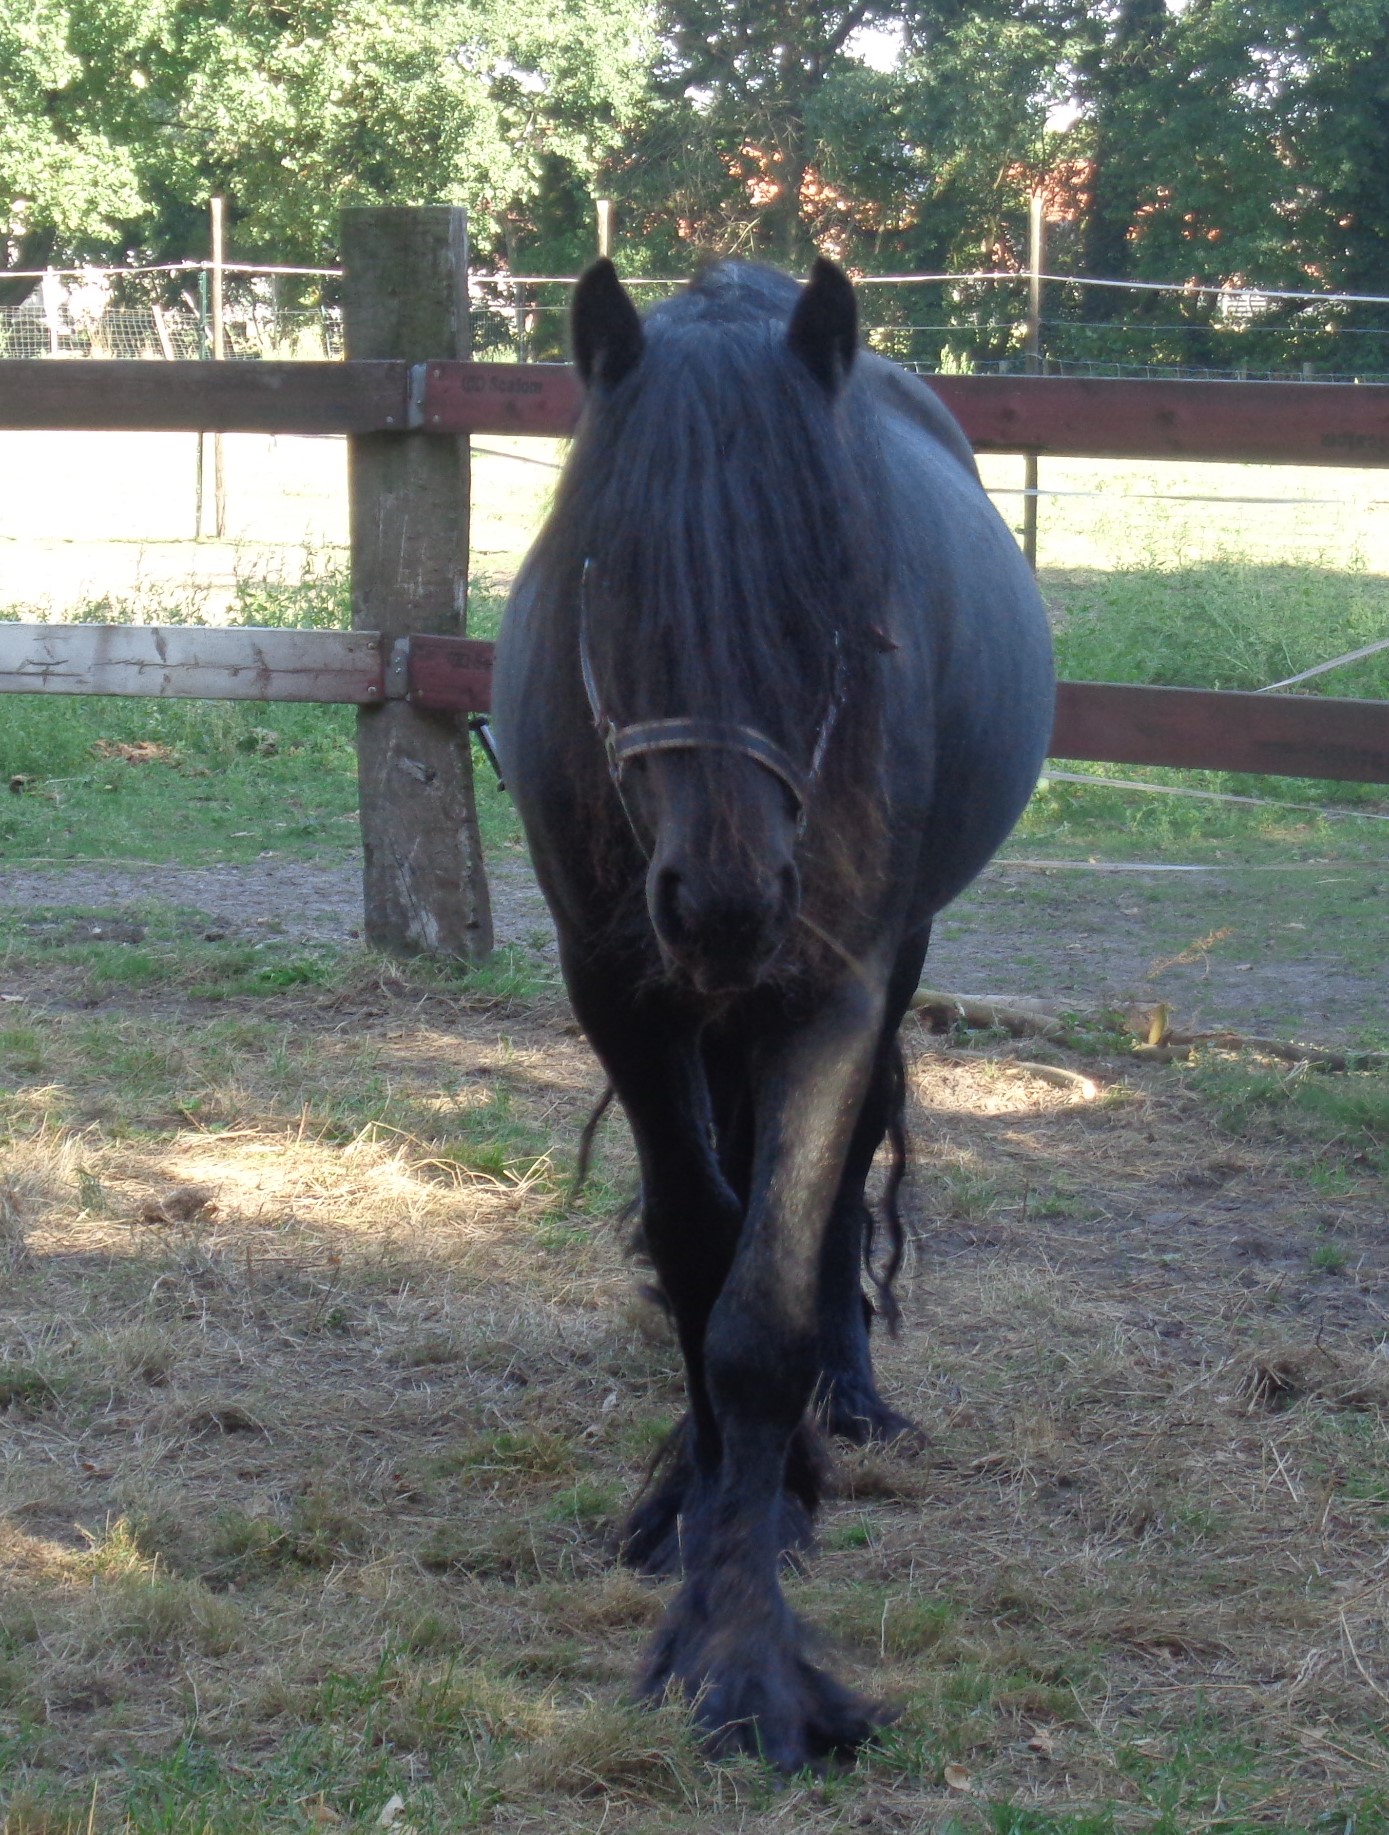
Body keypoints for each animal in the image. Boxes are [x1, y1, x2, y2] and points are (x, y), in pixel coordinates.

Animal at [492, 256, 1054, 1769]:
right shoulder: (621, 991)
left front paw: (744, 1646)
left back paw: (846, 1403)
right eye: (609, 577)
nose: (727, 903)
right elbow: (699, 1252)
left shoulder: (836, 985)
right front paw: (689, 1507)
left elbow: (767, 1302)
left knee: (843, 1179)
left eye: (831, 593)